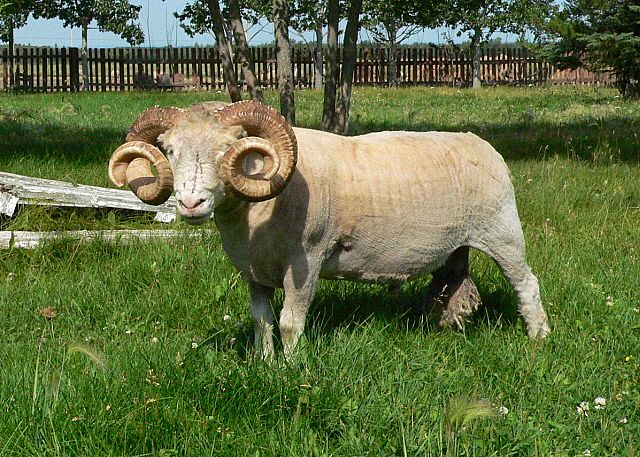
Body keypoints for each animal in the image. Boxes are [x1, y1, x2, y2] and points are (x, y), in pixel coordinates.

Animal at [108, 100, 549, 358]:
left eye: (229, 148)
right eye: (169, 150)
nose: (190, 204)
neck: (256, 212)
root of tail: (483, 145)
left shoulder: (306, 262)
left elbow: (290, 322)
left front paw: (290, 370)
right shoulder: (253, 272)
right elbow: (261, 321)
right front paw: (264, 363)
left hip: (502, 233)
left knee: (527, 284)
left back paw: (539, 336)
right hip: (456, 245)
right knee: (452, 285)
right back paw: (445, 328)